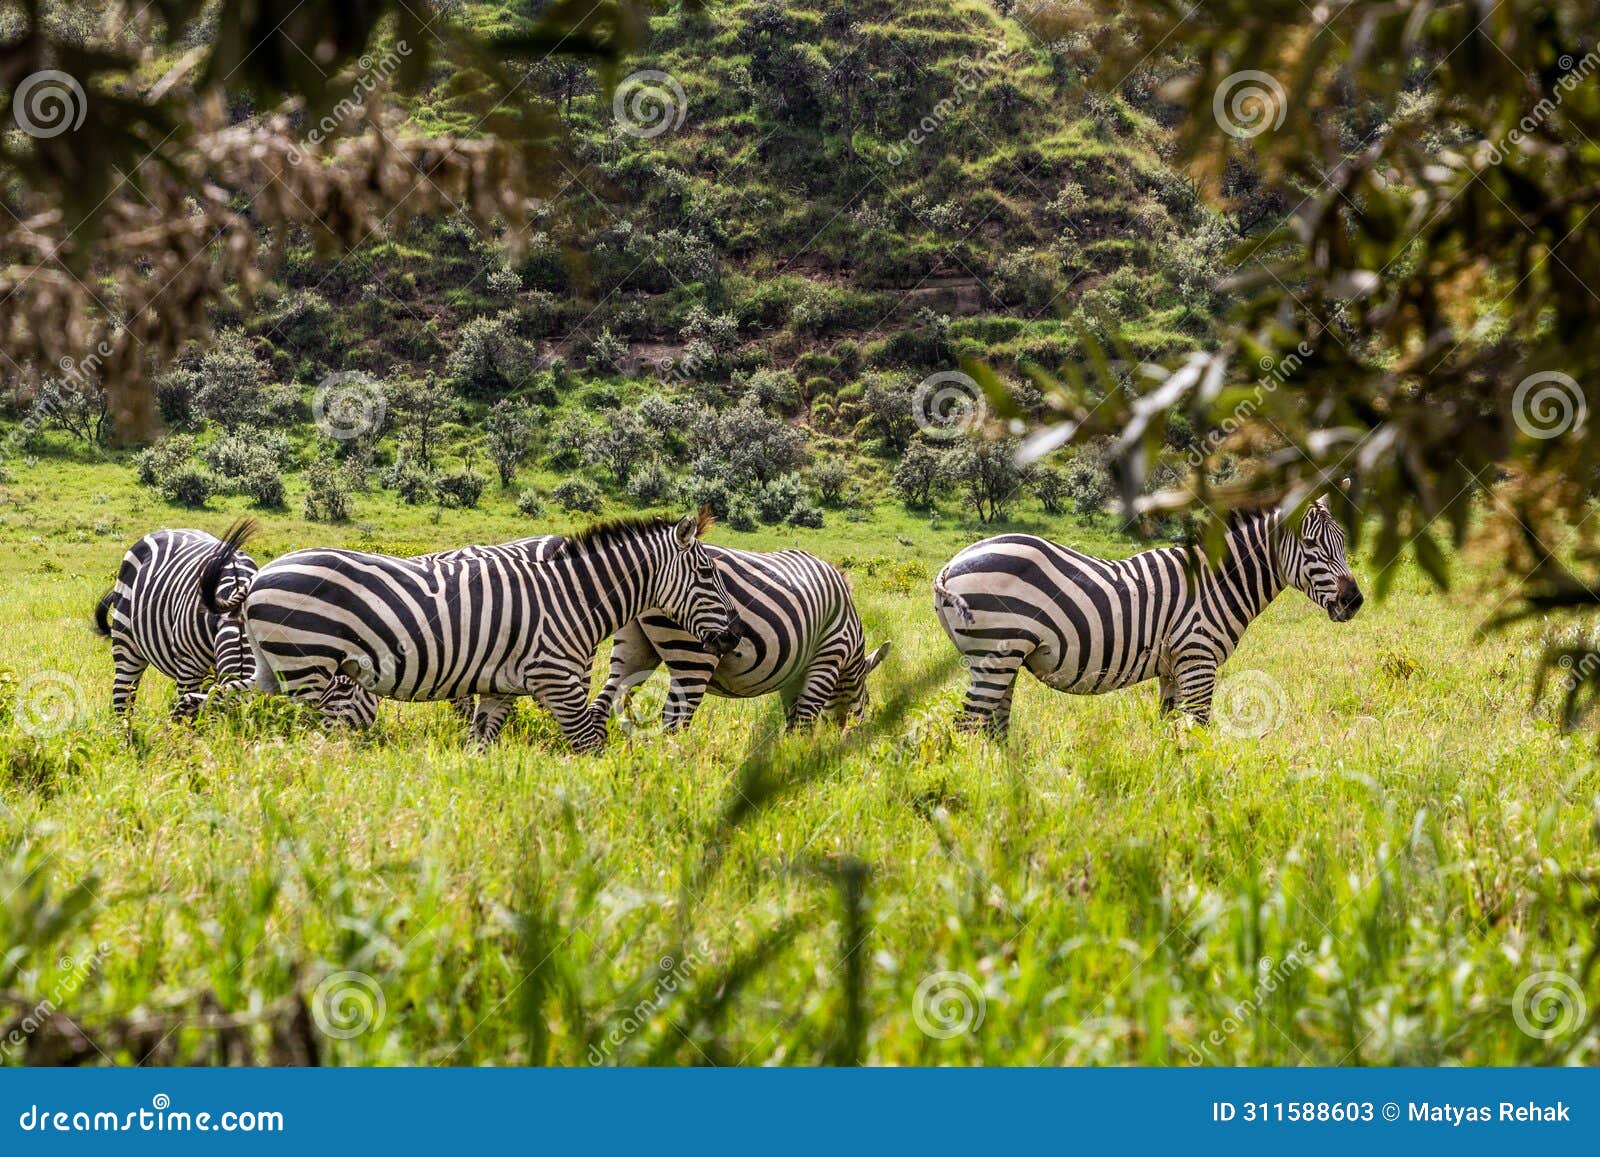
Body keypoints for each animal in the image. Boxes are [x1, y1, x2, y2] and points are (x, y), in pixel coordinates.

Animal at [201, 510, 744, 751]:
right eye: (707, 574)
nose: (735, 637)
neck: (572, 597)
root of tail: (258, 580)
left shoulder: (500, 688)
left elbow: (480, 745)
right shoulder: (557, 680)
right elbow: (590, 744)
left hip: (273, 667)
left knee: (222, 697)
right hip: (307, 667)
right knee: (308, 728)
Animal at [589, 546, 891, 732]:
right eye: (868, 700)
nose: (851, 732)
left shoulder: (795, 672)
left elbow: (792, 719)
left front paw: (787, 755)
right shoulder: (828, 656)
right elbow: (805, 719)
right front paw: (802, 760)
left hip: (635, 649)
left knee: (605, 703)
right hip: (694, 652)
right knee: (674, 720)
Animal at [932, 499, 1363, 734]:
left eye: (1343, 542)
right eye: (1310, 545)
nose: (1355, 601)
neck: (1217, 581)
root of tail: (951, 564)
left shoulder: (1173, 667)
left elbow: (1171, 731)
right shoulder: (1198, 659)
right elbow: (1199, 729)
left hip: (1002, 659)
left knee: (992, 727)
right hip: (995, 656)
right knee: (968, 726)